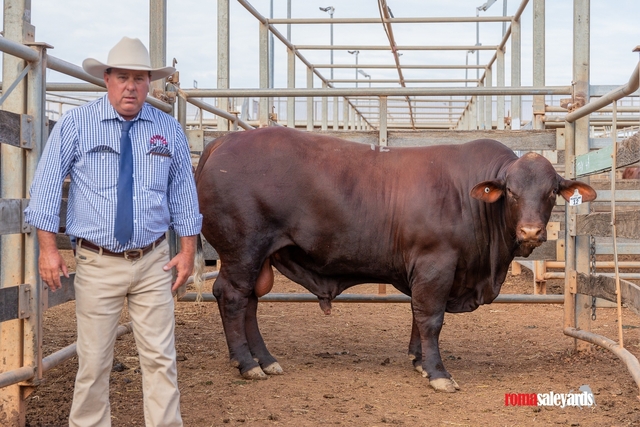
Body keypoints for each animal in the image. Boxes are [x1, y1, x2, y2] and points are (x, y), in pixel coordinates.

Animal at [194, 126, 597, 393]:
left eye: (551, 192)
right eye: (511, 192)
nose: (531, 232)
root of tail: (223, 141)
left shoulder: (424, 271)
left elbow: (418, 315)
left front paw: (418, 361)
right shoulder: (436, 264)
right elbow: (431, 318)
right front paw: (438, 373)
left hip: (258, 257)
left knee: (249, 302)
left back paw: (264, 360)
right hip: (242, 250)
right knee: (232, 298)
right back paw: (248, 364)